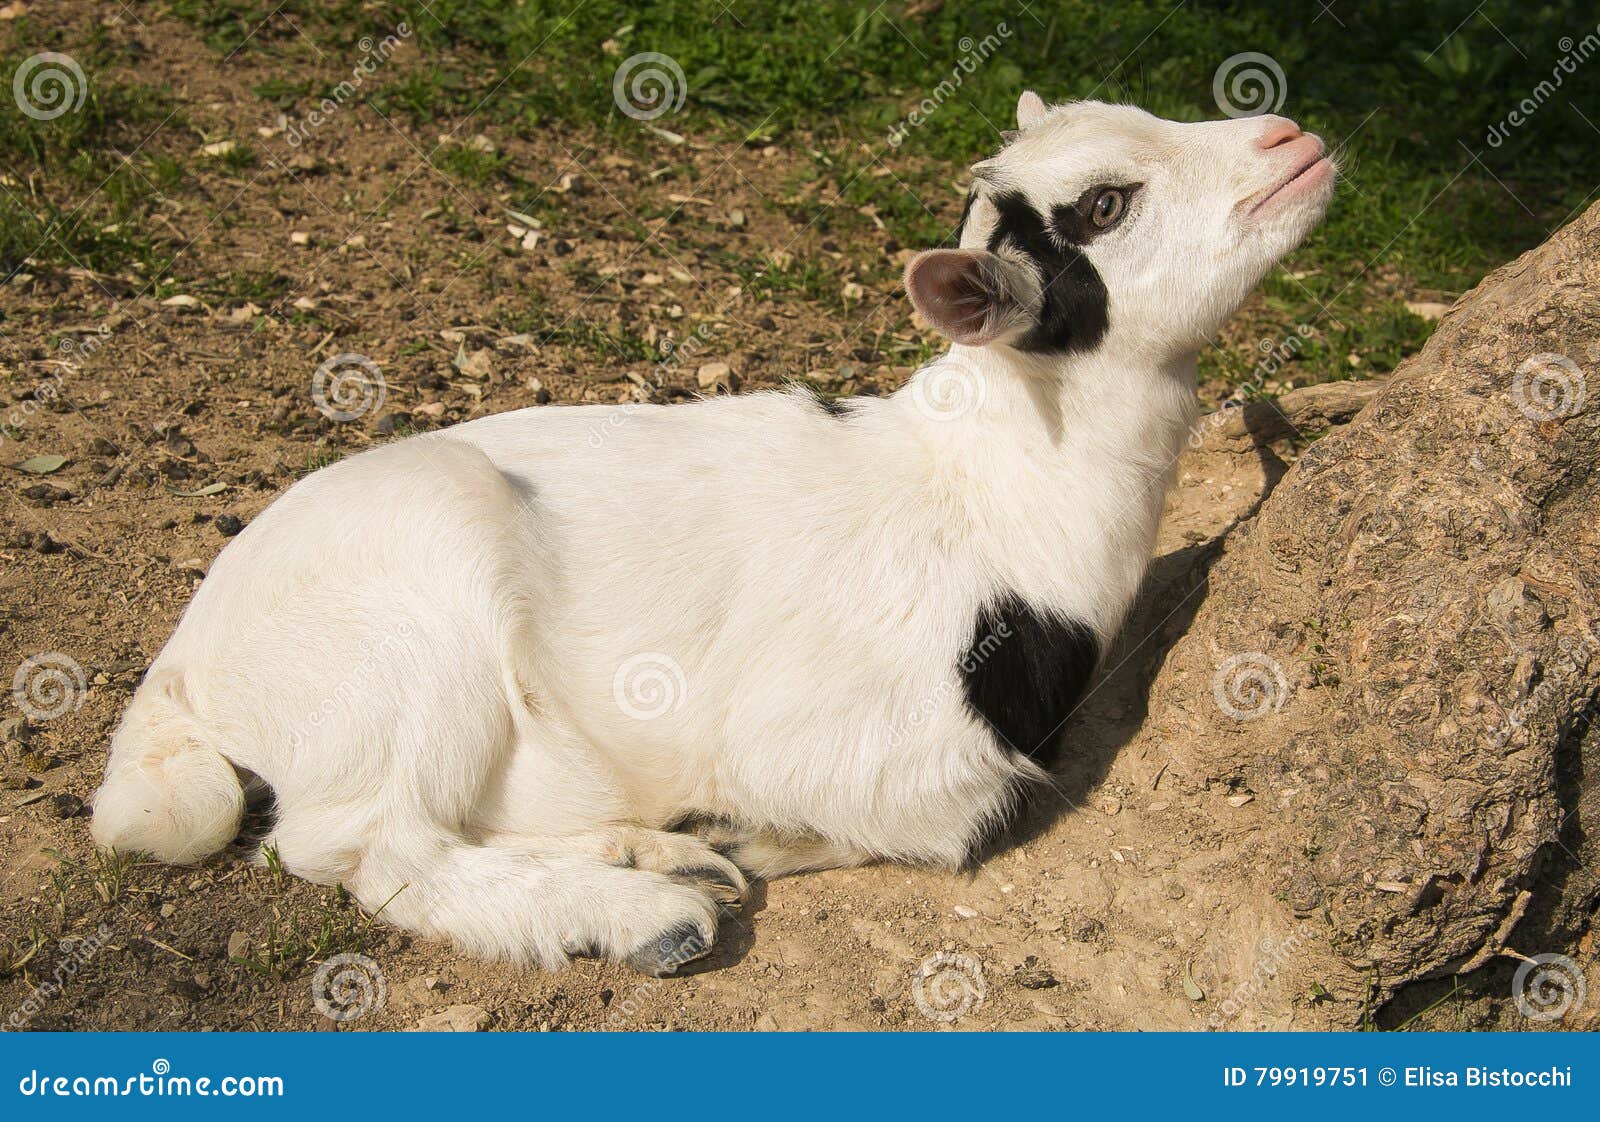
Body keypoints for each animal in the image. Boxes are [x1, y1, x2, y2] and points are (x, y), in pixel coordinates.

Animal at [91, 94, 1334, 975]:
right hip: (409, 609)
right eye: (1106, 206)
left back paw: (643, 850)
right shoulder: (880, 749)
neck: (989, 487)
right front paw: (744, 834)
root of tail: (189, 663)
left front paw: (718, 837)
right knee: (363, 845)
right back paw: (643, 911)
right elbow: (944, 821)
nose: (1292, 135)